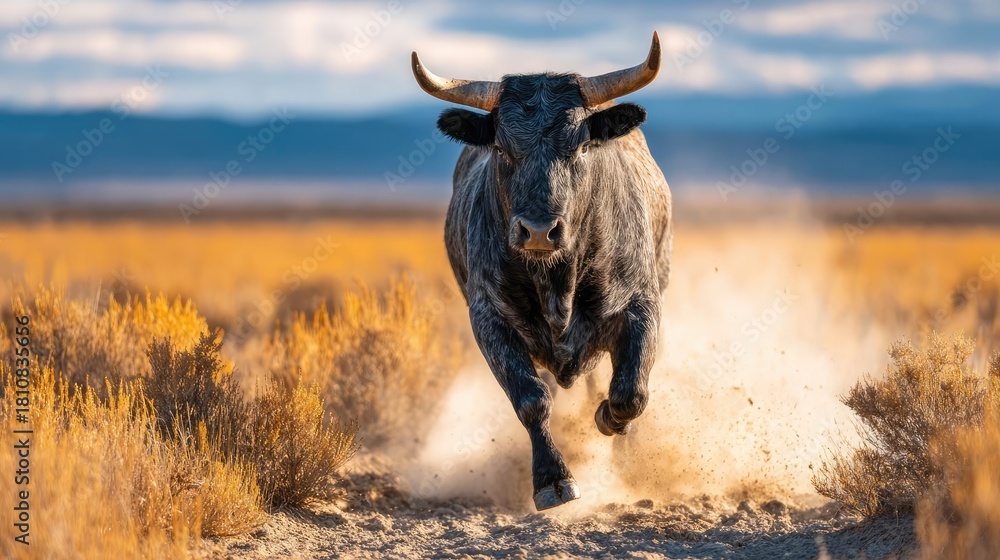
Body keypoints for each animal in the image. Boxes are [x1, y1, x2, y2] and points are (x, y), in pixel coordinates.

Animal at [411, 32, 672, 511]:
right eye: (500, 148)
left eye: (582, 145)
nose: (537, 230)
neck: (557, 282)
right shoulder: (489, 319)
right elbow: (532, 399)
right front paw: (552, 479)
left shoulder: (642, 303)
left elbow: (630, 393)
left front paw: (611, 423)